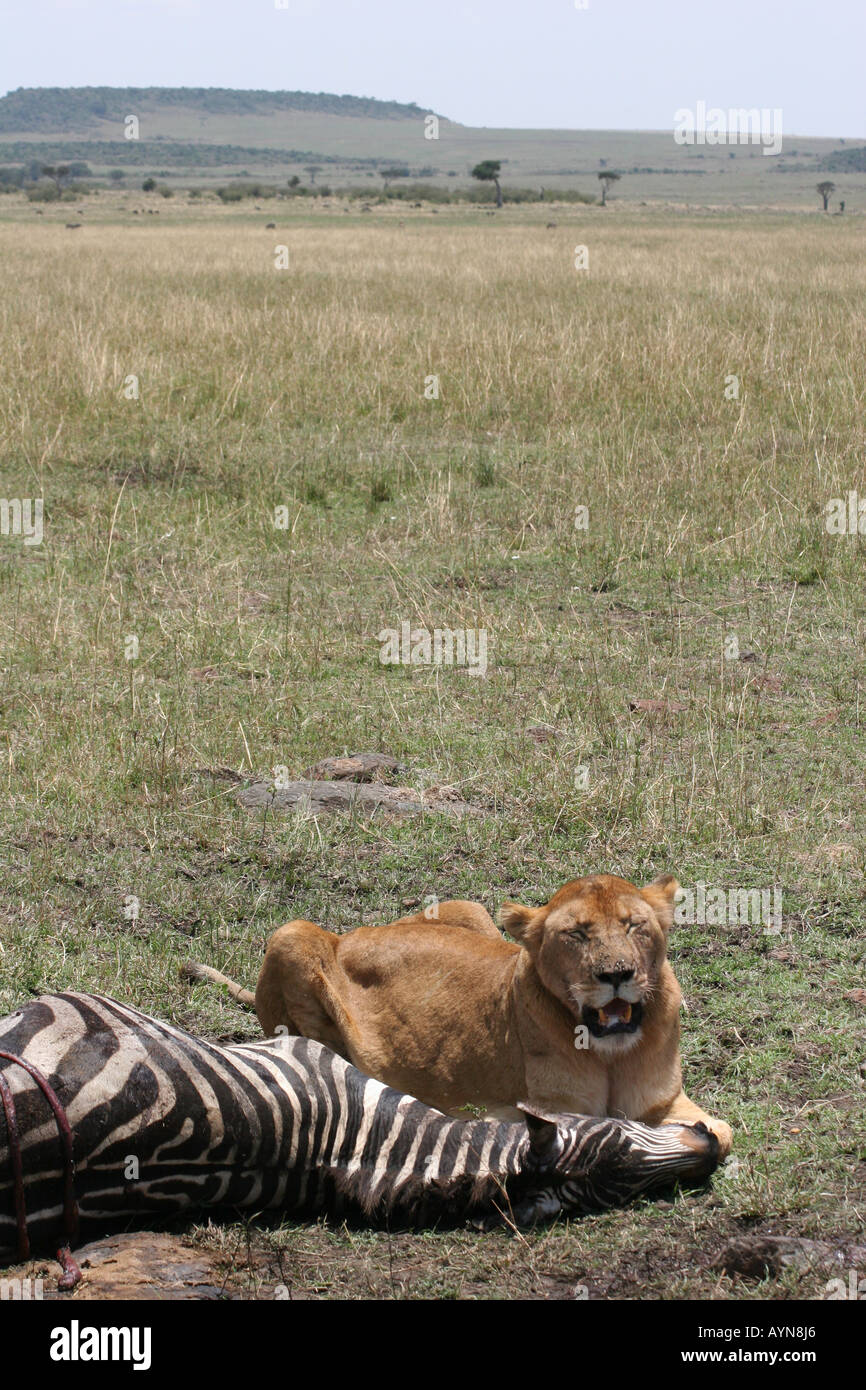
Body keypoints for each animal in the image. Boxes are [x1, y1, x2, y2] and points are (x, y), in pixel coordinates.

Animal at [183, 873, 731, 1156]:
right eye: (576, 934)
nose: (616, 974)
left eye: (634, 925)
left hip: (466, 906)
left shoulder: (663, 1101)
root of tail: (350, 935)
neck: (611, 1055)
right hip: (290, 934)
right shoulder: (545, 1107)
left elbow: (723, 1132)